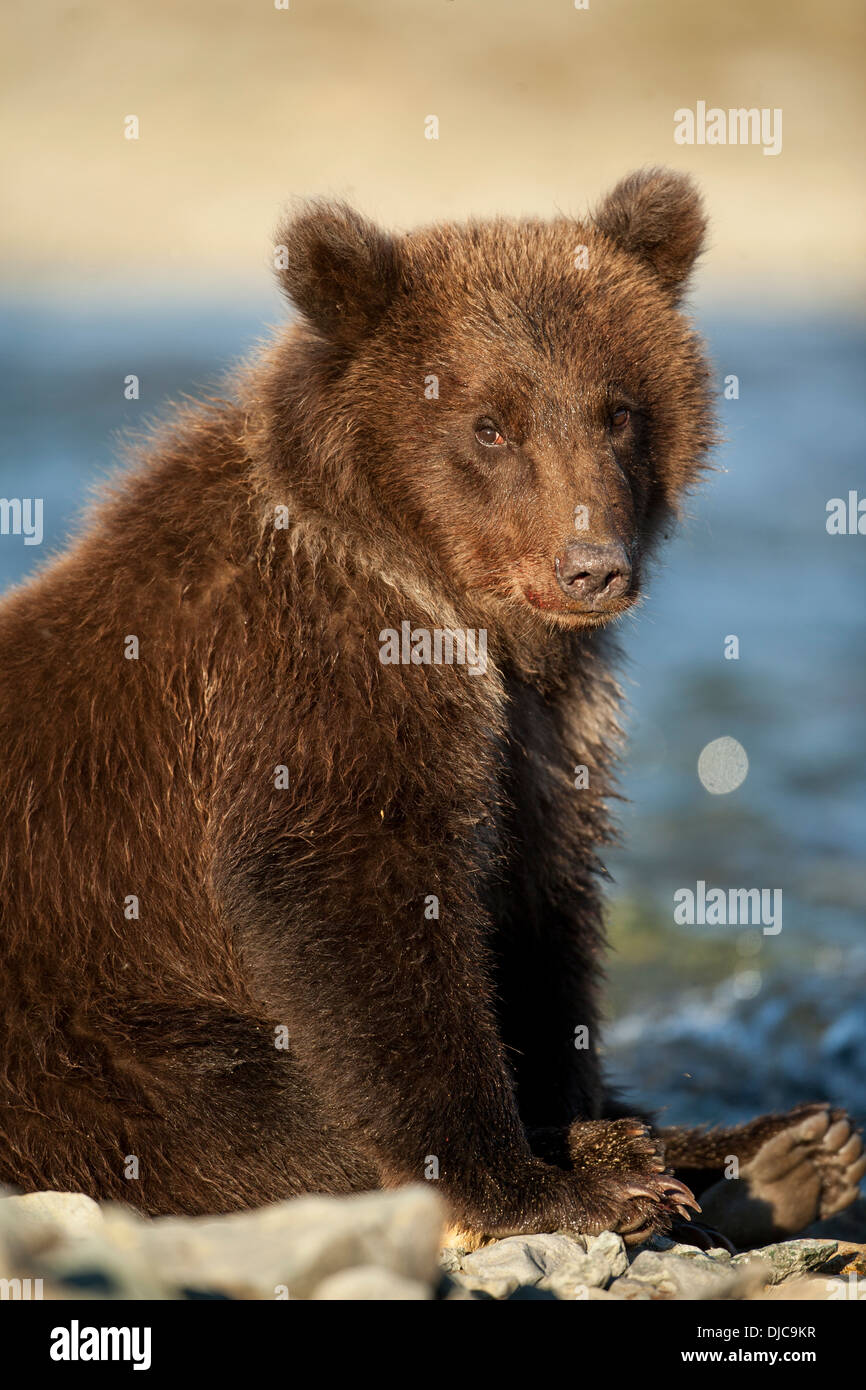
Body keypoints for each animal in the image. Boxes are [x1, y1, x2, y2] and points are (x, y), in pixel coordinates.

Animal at [0, 168, 862, 1250]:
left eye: (617, 410)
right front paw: (536, 1183)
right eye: (490, 425)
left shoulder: (545, 729)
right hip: (81, 1020)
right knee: (223, 1107)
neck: (462, 605)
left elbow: (538, 920)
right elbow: (357, 906)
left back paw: (784, 1149)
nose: (591, 567)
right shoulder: (308, 676)